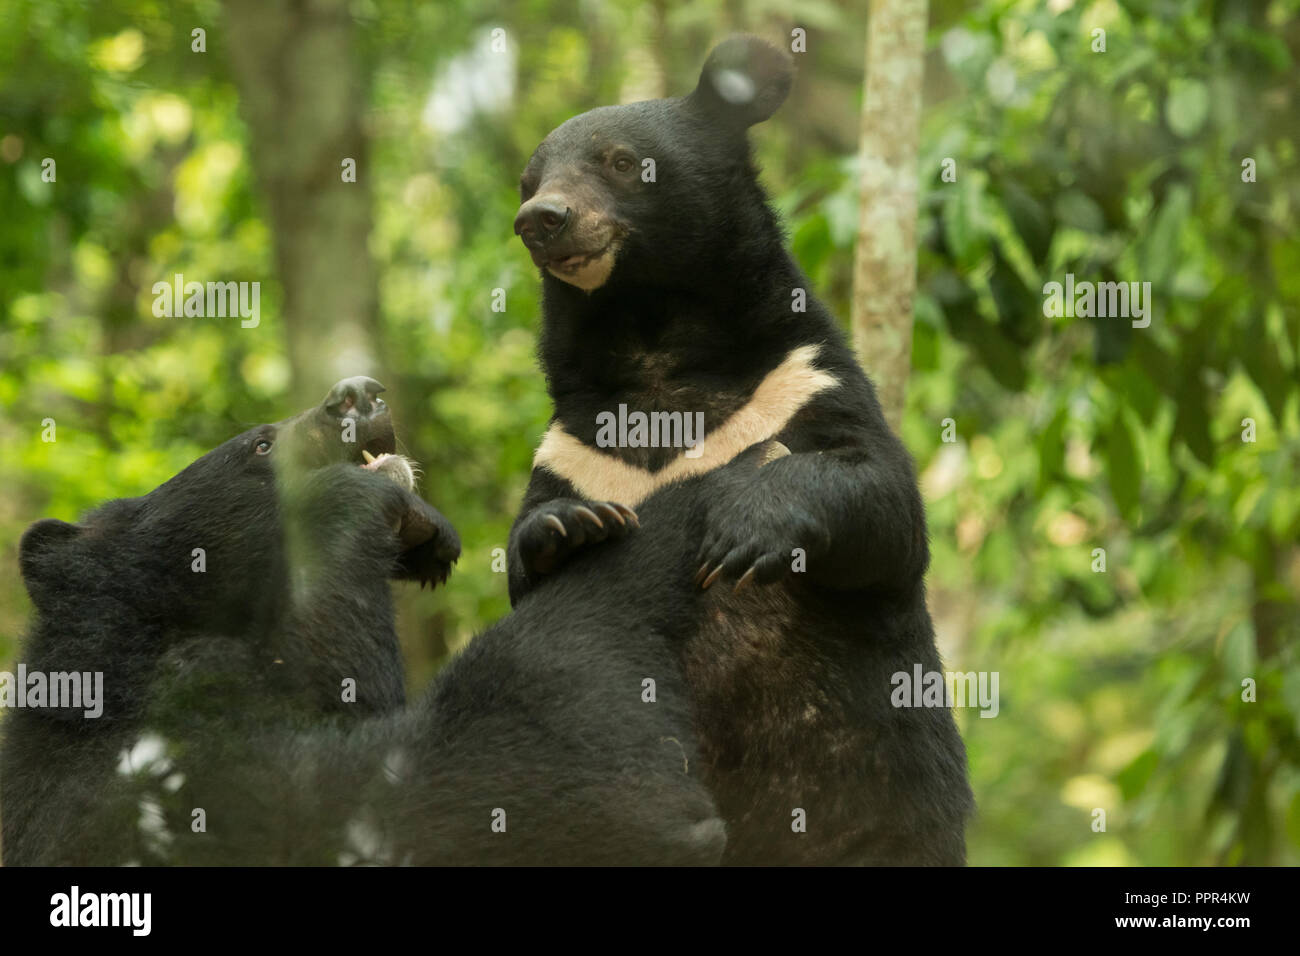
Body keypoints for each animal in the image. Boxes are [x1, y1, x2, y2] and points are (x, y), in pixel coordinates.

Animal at [507, 35, 974, 864]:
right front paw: (569, 527)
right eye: (531, 181)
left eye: (620, 161)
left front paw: (740, 532)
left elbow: (880, 499)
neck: (654, 342)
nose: (542, 219)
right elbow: (541, 589)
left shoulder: (802, 378)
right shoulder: (575, 446)